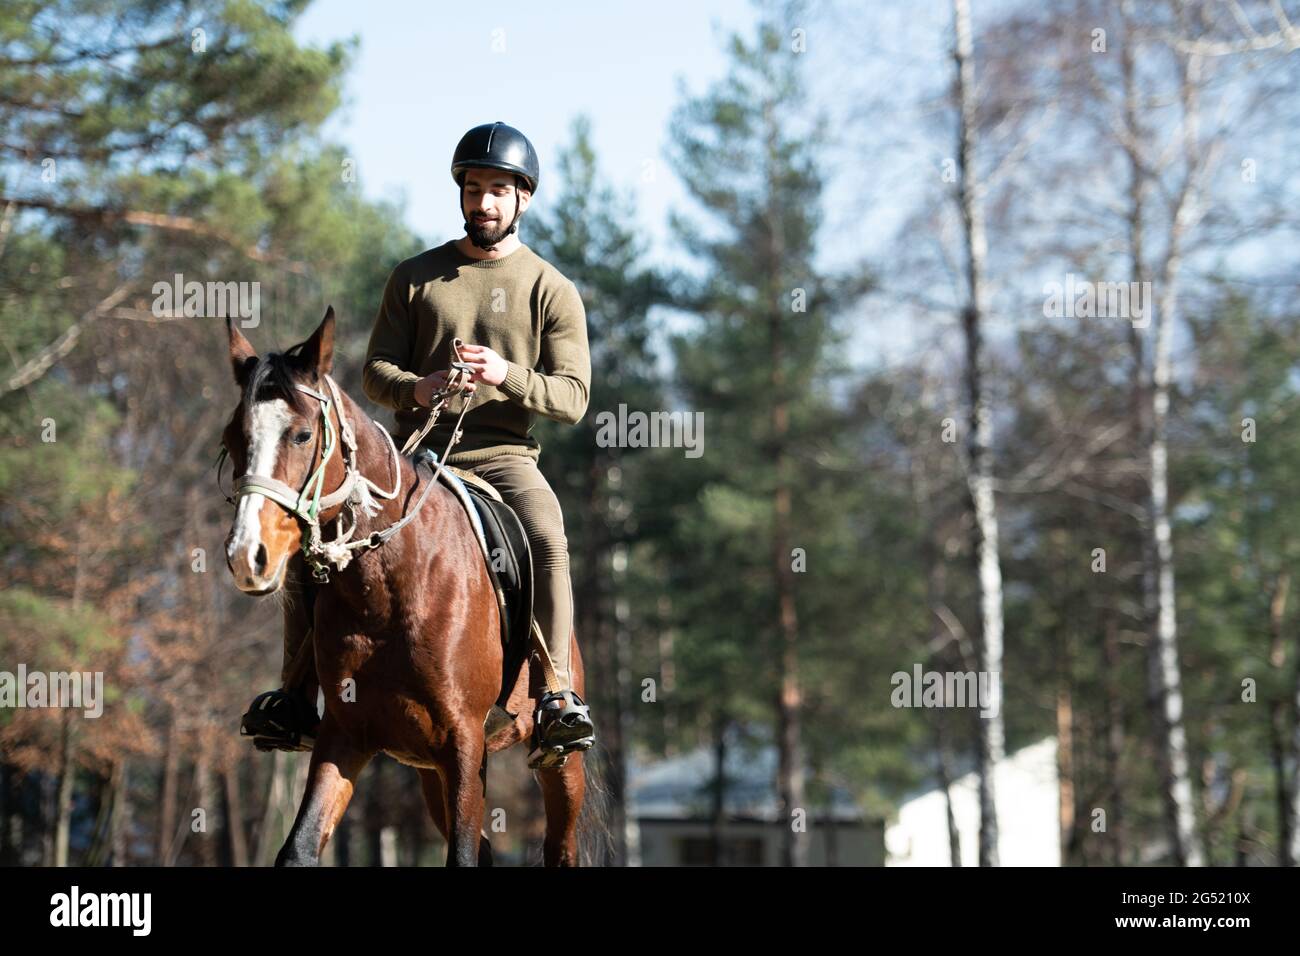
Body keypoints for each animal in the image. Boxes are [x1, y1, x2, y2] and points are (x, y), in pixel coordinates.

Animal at [219, 307, 590, 866]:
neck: (389, 589)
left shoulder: (465, 744)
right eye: (232, 439)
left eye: (302, 436)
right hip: (429, 773)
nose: (247, 555)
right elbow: (299, 847)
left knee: (559, 846)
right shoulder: (346, 736)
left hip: (559, 767)